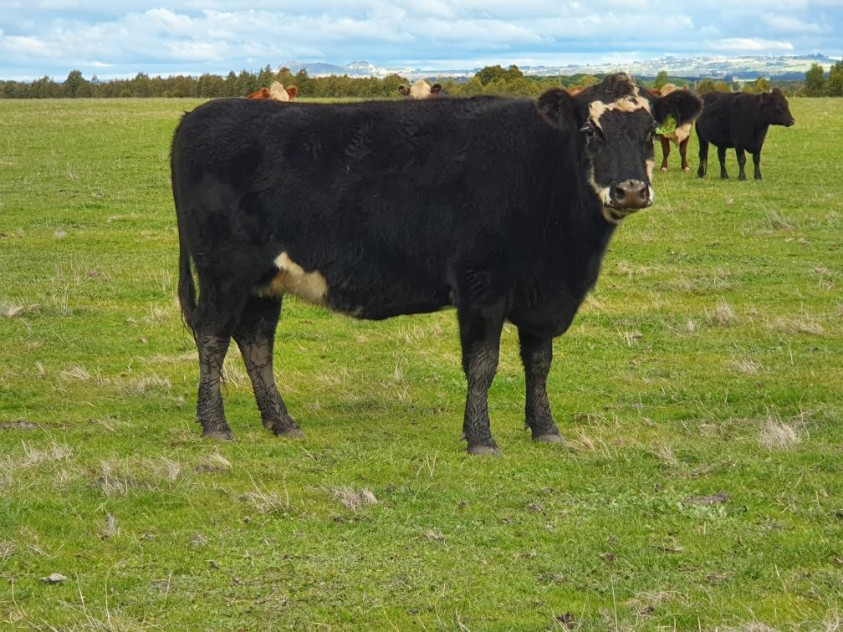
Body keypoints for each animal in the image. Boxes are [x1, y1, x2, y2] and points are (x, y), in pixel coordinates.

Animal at [171, 73, 702, 454]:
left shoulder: (544, 293)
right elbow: (483, 365)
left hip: (265, 280)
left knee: (255, 343)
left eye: (648, 132)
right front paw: (481, 440)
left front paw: (546, 430)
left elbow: (539, 363)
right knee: (213, 335)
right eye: (591, 131)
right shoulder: (481, 285)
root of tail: (200, 114)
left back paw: (282, 424)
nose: (630, 190)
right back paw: (215, 426)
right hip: (224, 271)